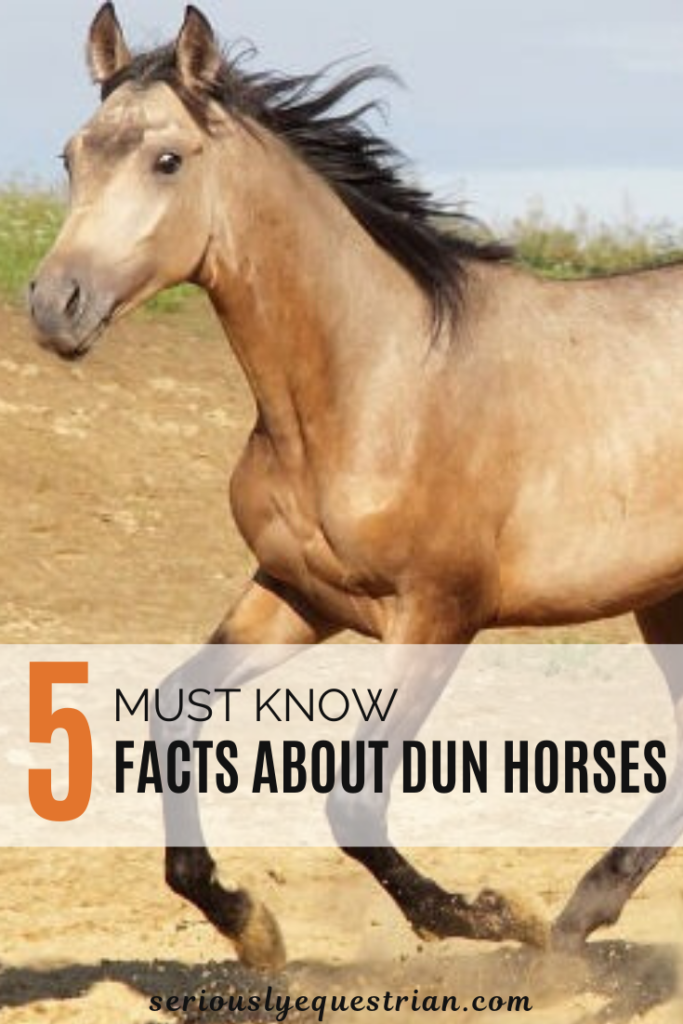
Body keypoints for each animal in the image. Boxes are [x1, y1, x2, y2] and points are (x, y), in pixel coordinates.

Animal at [29, 2, 683, 972]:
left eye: (167, 160)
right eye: (72, 155)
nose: (53, 305)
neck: (376, 382)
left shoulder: (437, 615)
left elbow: (353, 803)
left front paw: (483, 916)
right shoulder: (298, 594)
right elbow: (171, 718)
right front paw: (249, 924)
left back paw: (562, 925)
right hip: (662, 597)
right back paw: (579, 917)